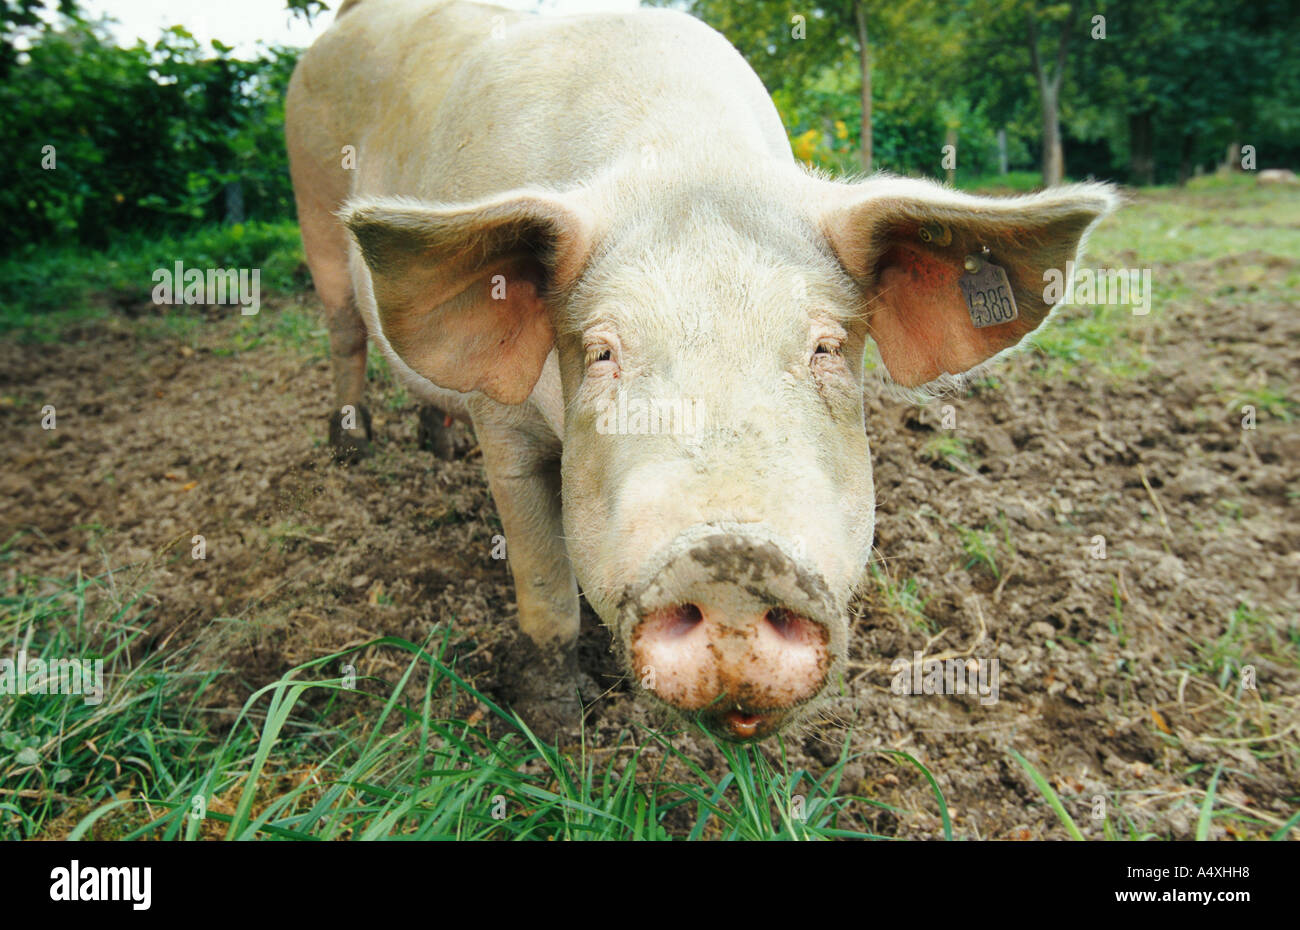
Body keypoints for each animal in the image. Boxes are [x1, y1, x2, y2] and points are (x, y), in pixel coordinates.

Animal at [285, 0, 1115, 741]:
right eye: (603, 352)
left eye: (824, 348)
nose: (730, 560)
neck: (684, 155)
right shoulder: (508, 429)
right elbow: (545, 585)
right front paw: (553, 728)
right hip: (314, 209)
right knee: (346, 331)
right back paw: (350, 445)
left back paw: (440, 443)